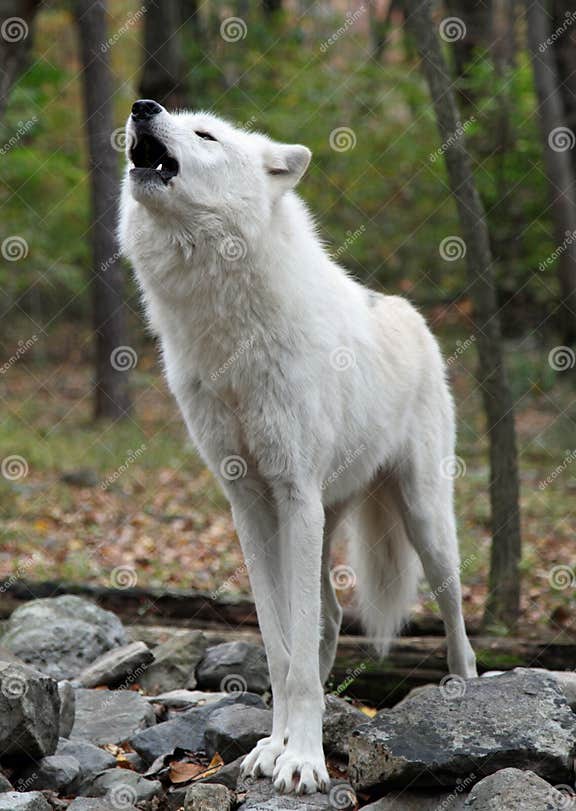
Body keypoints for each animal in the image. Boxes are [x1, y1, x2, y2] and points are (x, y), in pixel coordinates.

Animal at [119, 99, 477, 795]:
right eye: (172, 115)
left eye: (205, 134)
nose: (142, 107)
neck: (225, 335)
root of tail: (410, 312)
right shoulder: (251, 504)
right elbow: (283, 650)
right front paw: (273, 747)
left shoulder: (294, 494)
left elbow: (300, 659)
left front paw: (304, 761)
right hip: (325, 517)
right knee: (332, 618)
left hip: (421, 519)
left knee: (455, 616)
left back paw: (467, 691)